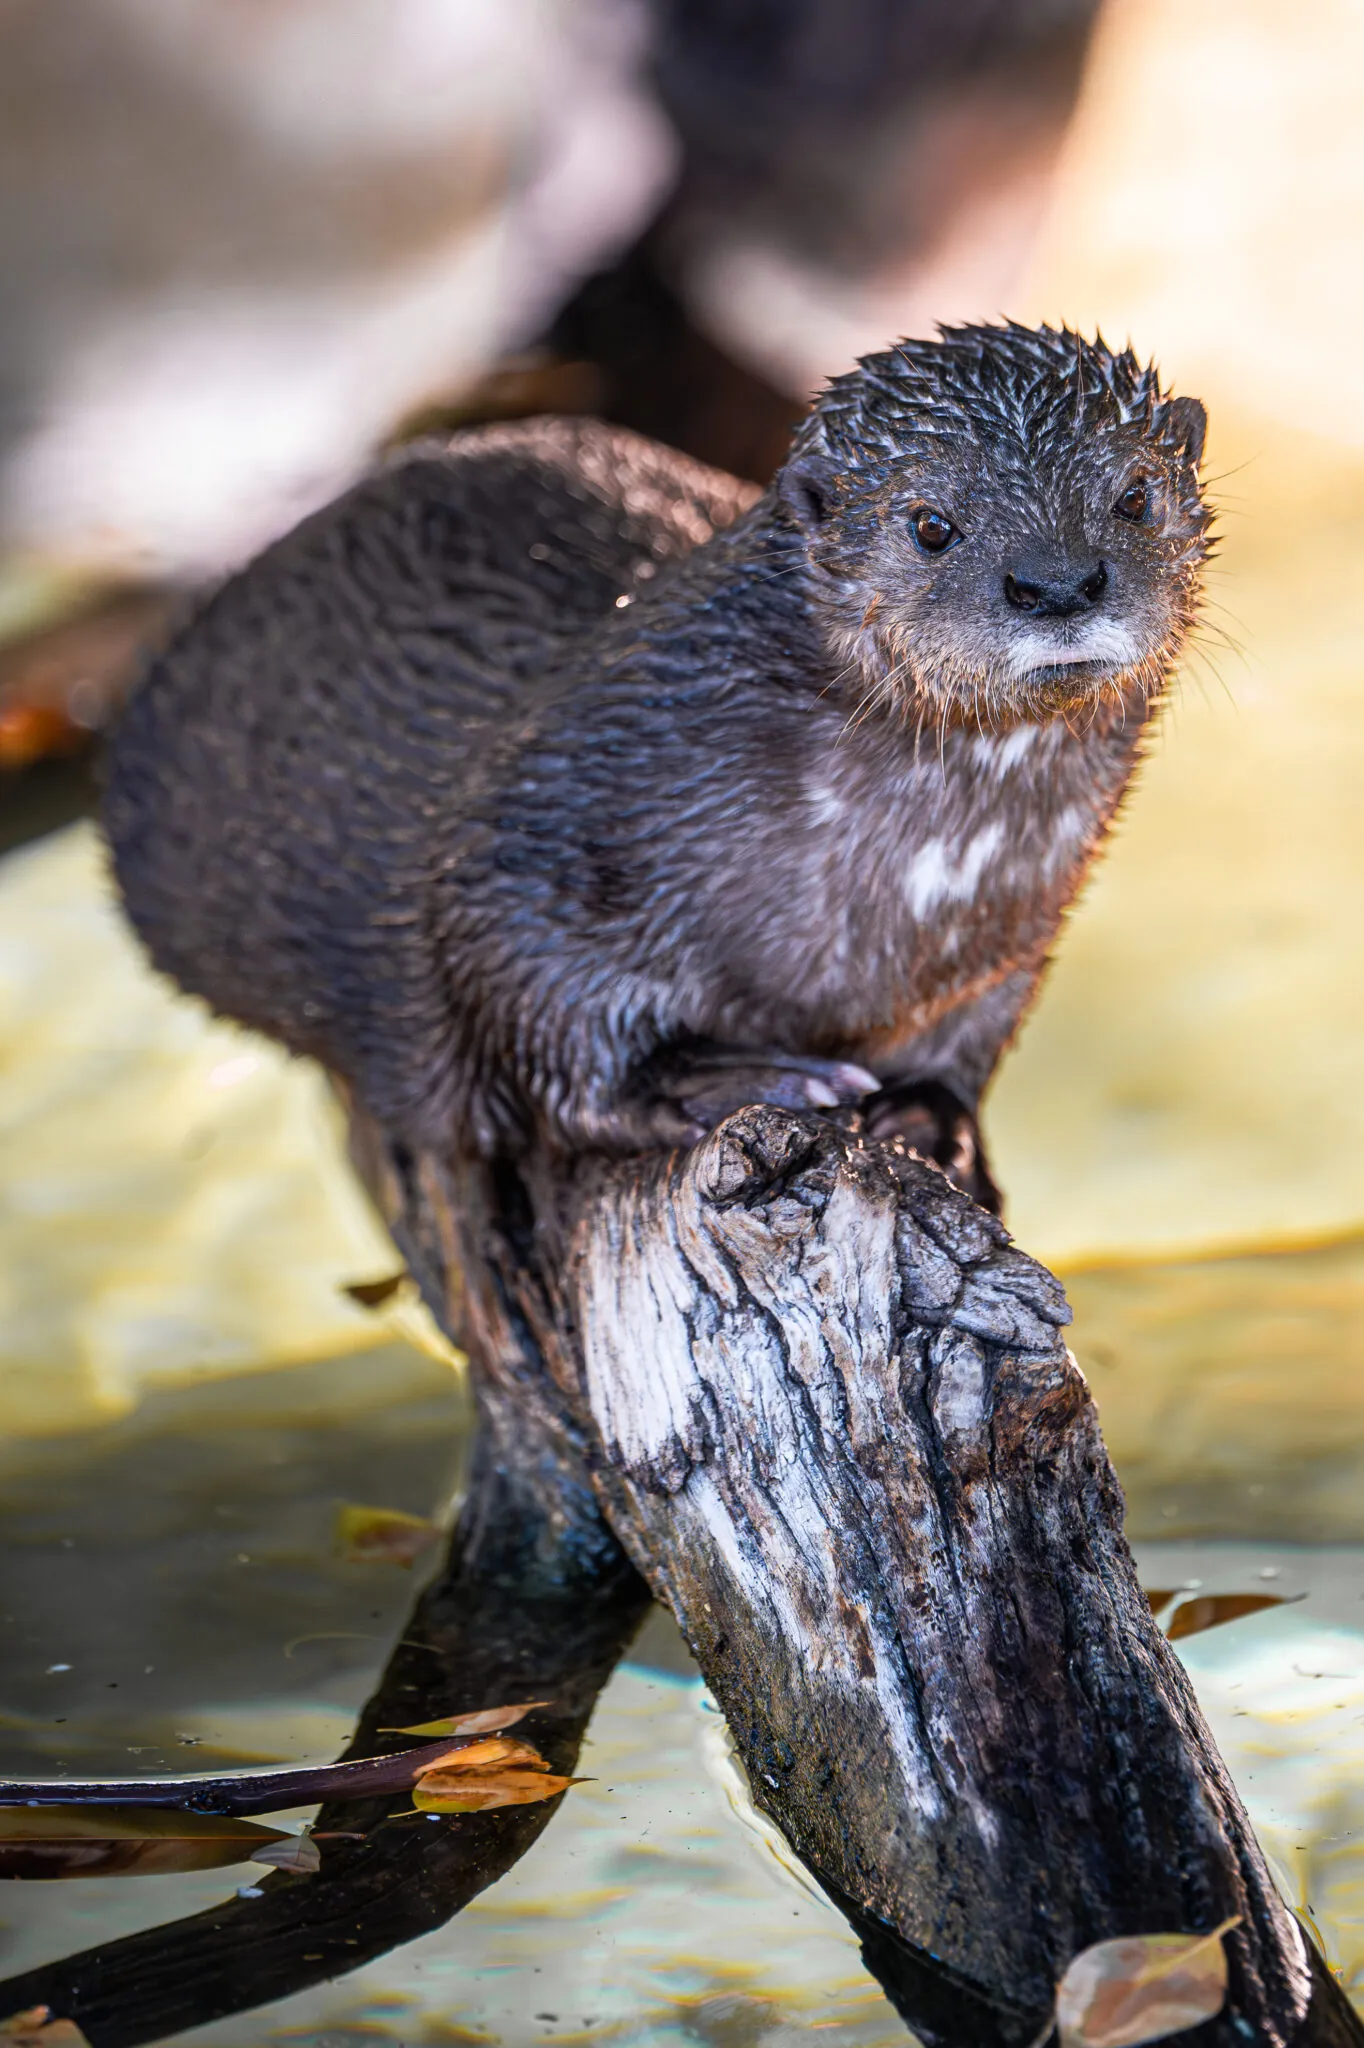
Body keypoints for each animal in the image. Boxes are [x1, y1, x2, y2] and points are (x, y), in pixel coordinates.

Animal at [104, 323, 1210, 1213]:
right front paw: (728, 1076)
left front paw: (932, 1116)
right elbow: (525, 994)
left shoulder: (1015, 934)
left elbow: (976, 1034)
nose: (1055, 584)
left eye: (1133, 496)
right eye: (931, 523)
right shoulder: (539, 821)